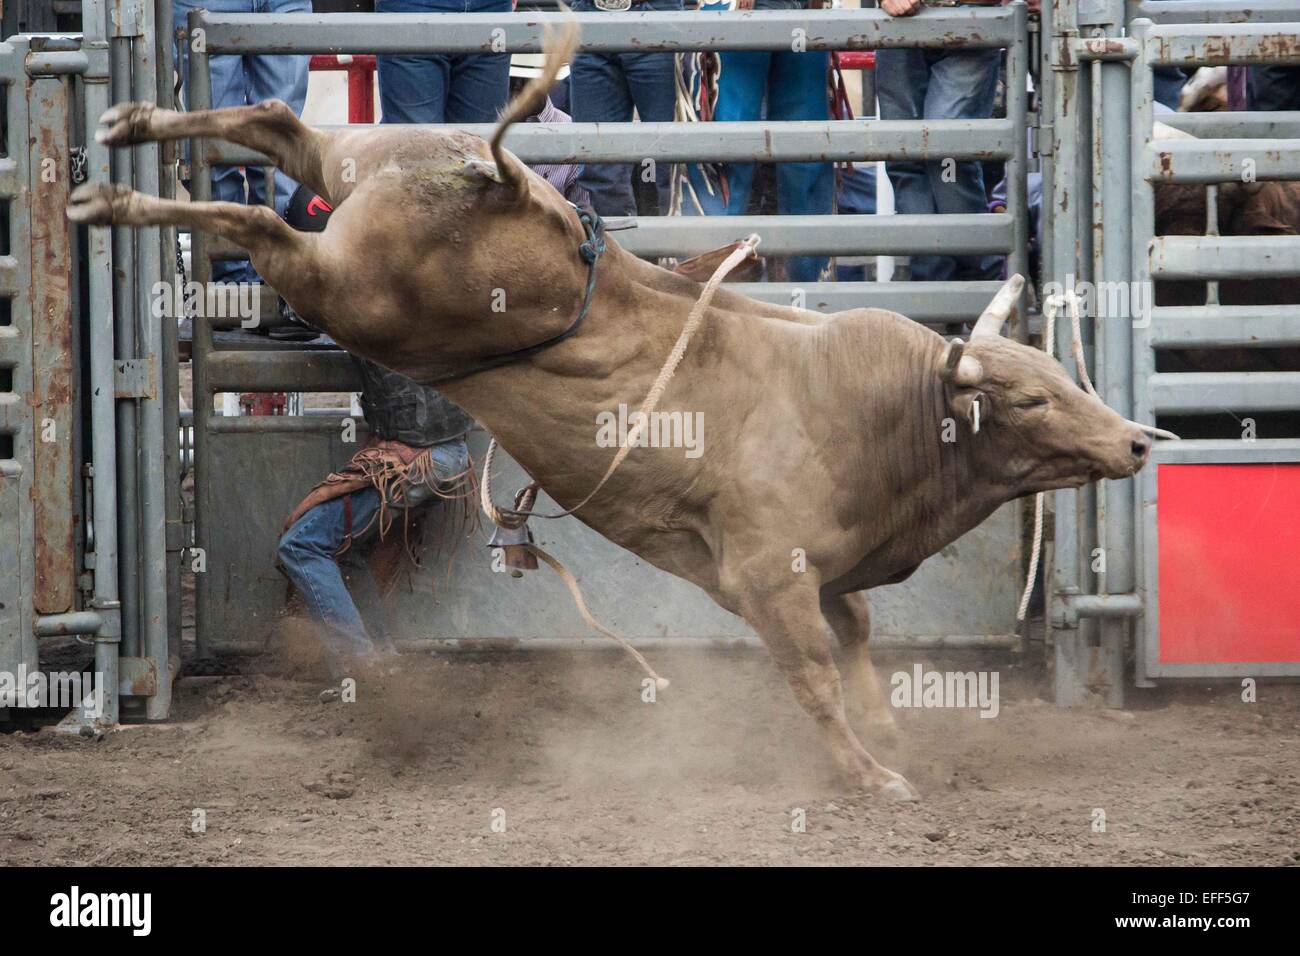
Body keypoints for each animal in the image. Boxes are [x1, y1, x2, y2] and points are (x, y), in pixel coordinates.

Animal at [68, 28, 1154, 800]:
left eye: (1062, 378)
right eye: (1029, 396)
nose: (1140, 439)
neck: (885, 411)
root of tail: (502, 178)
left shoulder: (829, 571)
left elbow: (855, 639)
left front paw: (884, 727)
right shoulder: (770, 576)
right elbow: (812, 670)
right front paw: (870, 772)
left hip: (352, 173)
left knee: (272, 126)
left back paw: (126, 127)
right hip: (351, 287)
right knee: (254, 217)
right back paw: (110, 198)